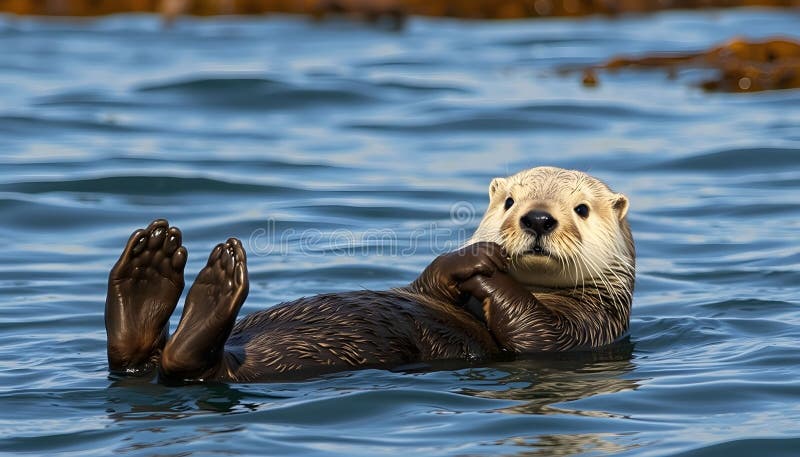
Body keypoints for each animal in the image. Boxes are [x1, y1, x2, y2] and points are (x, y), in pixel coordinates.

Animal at [104, 166, 634, 382]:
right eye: (508, 202)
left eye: (581, 210)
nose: (537, 219)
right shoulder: (430, 283)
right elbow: (431, 279)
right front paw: (474, 255)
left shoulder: (589, 327)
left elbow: (537, 335)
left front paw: (489, 272)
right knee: (138, 361)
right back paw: (148, 268)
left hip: (223, 365)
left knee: (188, 365)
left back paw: (212, 281)